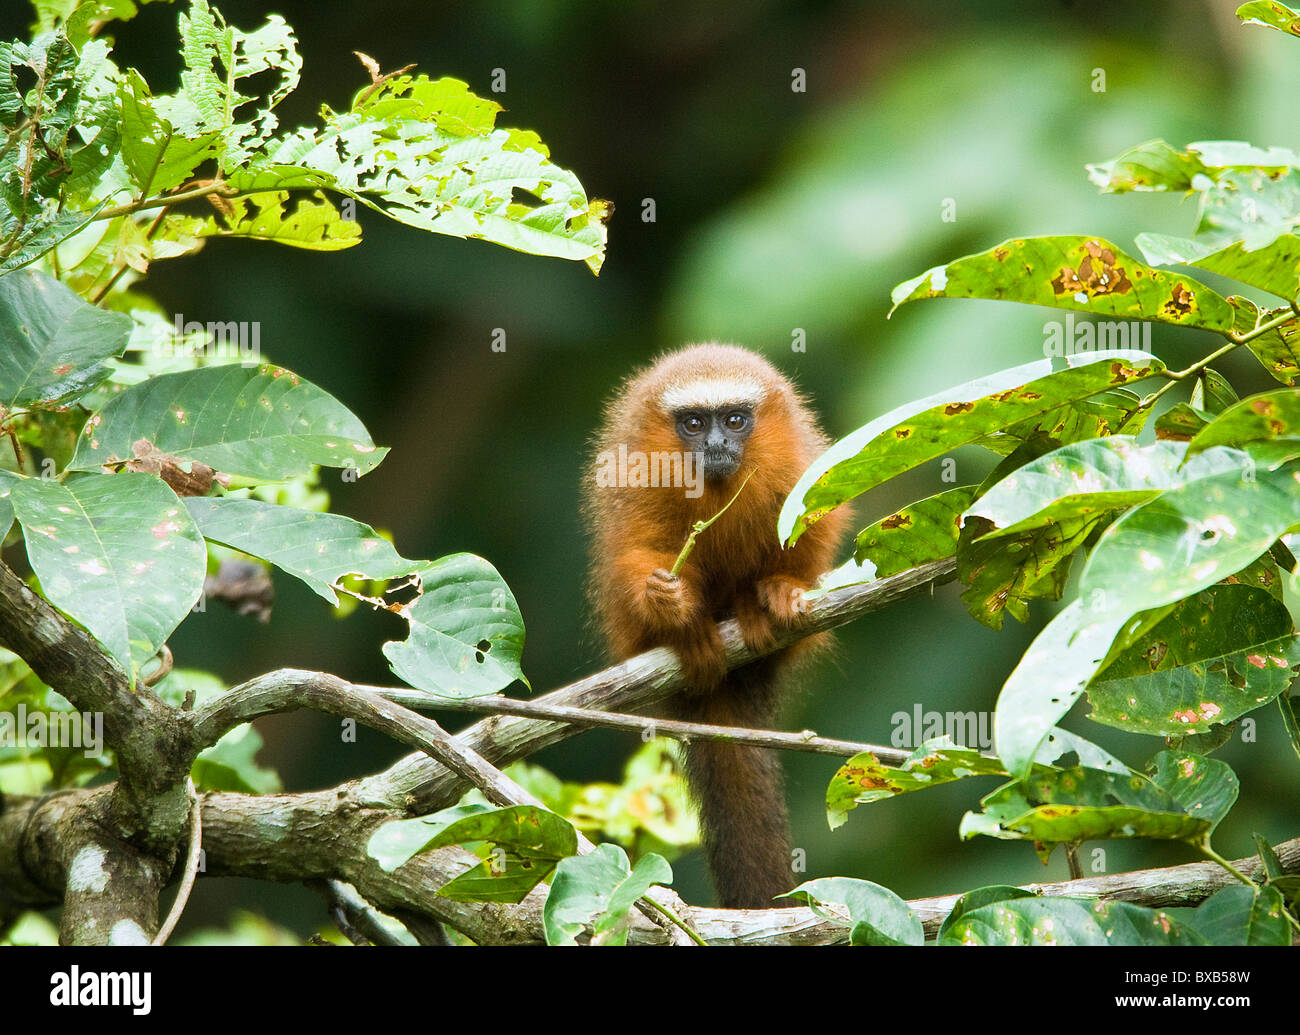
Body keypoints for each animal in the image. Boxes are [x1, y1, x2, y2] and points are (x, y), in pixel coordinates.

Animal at [583, 343, 849, 909]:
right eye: (693, 423)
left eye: (733, 420)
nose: (717, 443)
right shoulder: (632, 481)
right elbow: (632, 553)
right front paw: (664, 601)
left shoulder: (798, 468)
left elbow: (814, 532)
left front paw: (782, 589)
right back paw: (688, 635)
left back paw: (753, 610)